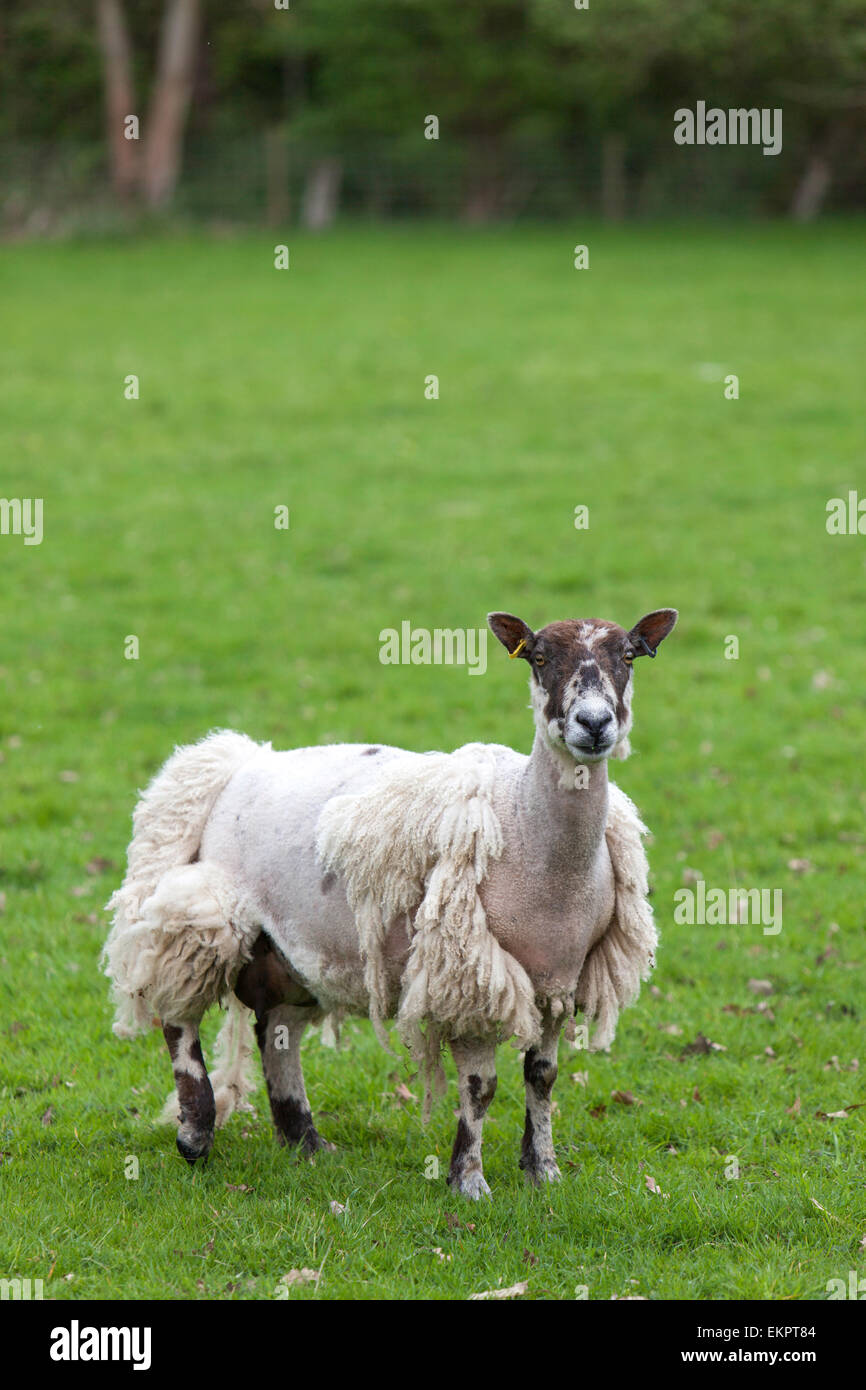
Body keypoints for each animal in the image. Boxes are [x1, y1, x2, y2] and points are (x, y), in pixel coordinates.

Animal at [103, 606, 677, 1198]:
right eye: (539, 658)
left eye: (628, 655)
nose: (594, 723)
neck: (523, 820)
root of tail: (236, 762)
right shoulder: (468, 975)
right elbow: (481, 1085)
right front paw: (469, 1181)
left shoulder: (558, 980)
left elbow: (542, 1077)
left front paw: (543, 1170)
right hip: (211, 911)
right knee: (179, 1014)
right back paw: (196, 1132)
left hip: (295, 944)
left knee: (276, 1029)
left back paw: (304, 1140)